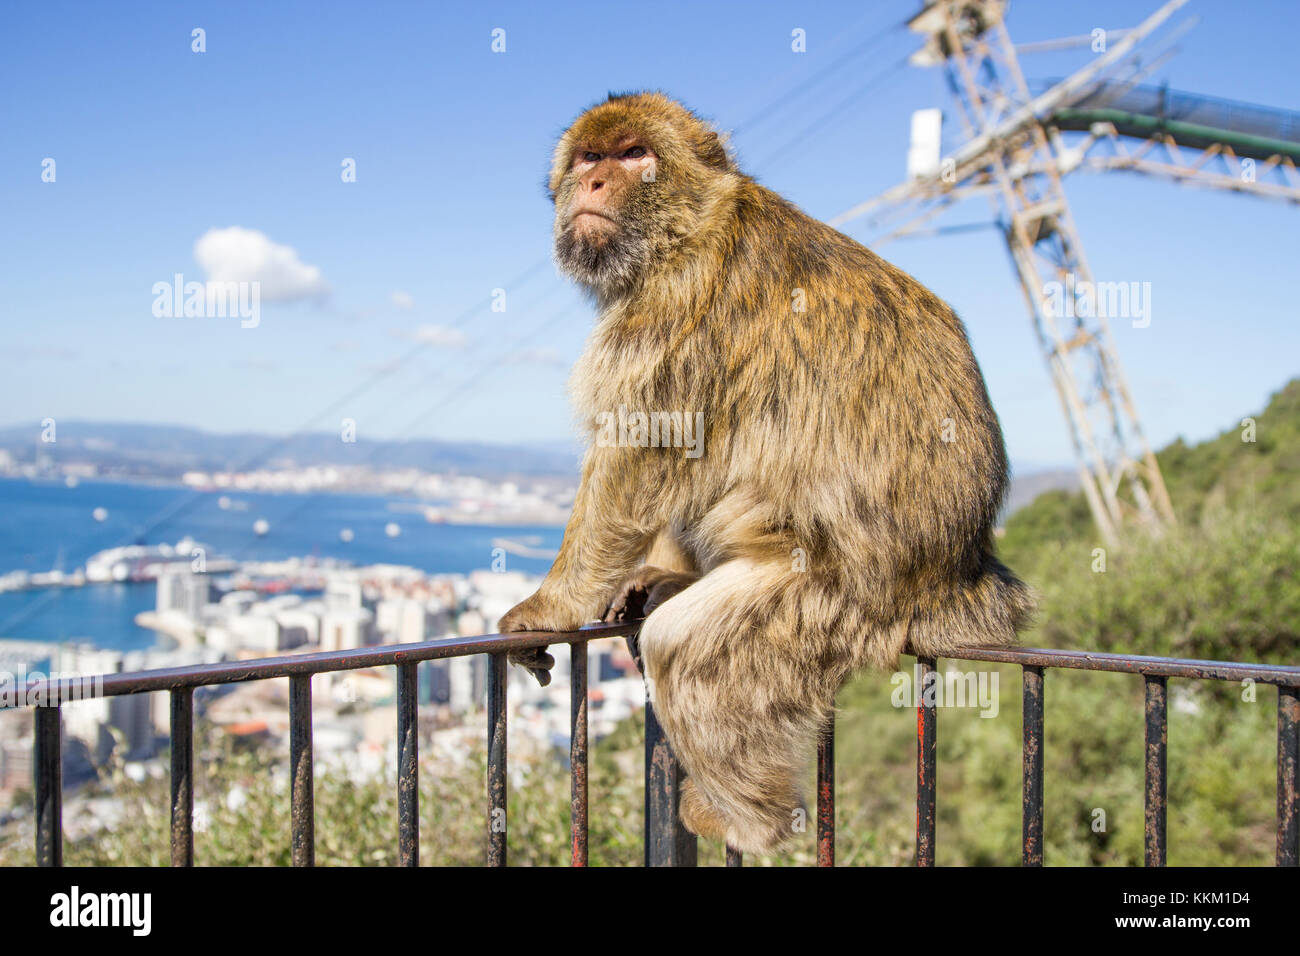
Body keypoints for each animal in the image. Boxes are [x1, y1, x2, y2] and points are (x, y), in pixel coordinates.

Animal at [498, 92, 1033, 855]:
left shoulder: (671, 314)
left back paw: (746, 822)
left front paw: (551, 605)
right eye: (590, 158)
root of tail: (963, 575)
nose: (595, 183)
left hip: (826, 609)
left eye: (634, 155)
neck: (686, 232)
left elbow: (636, 461)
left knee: (686, 648)